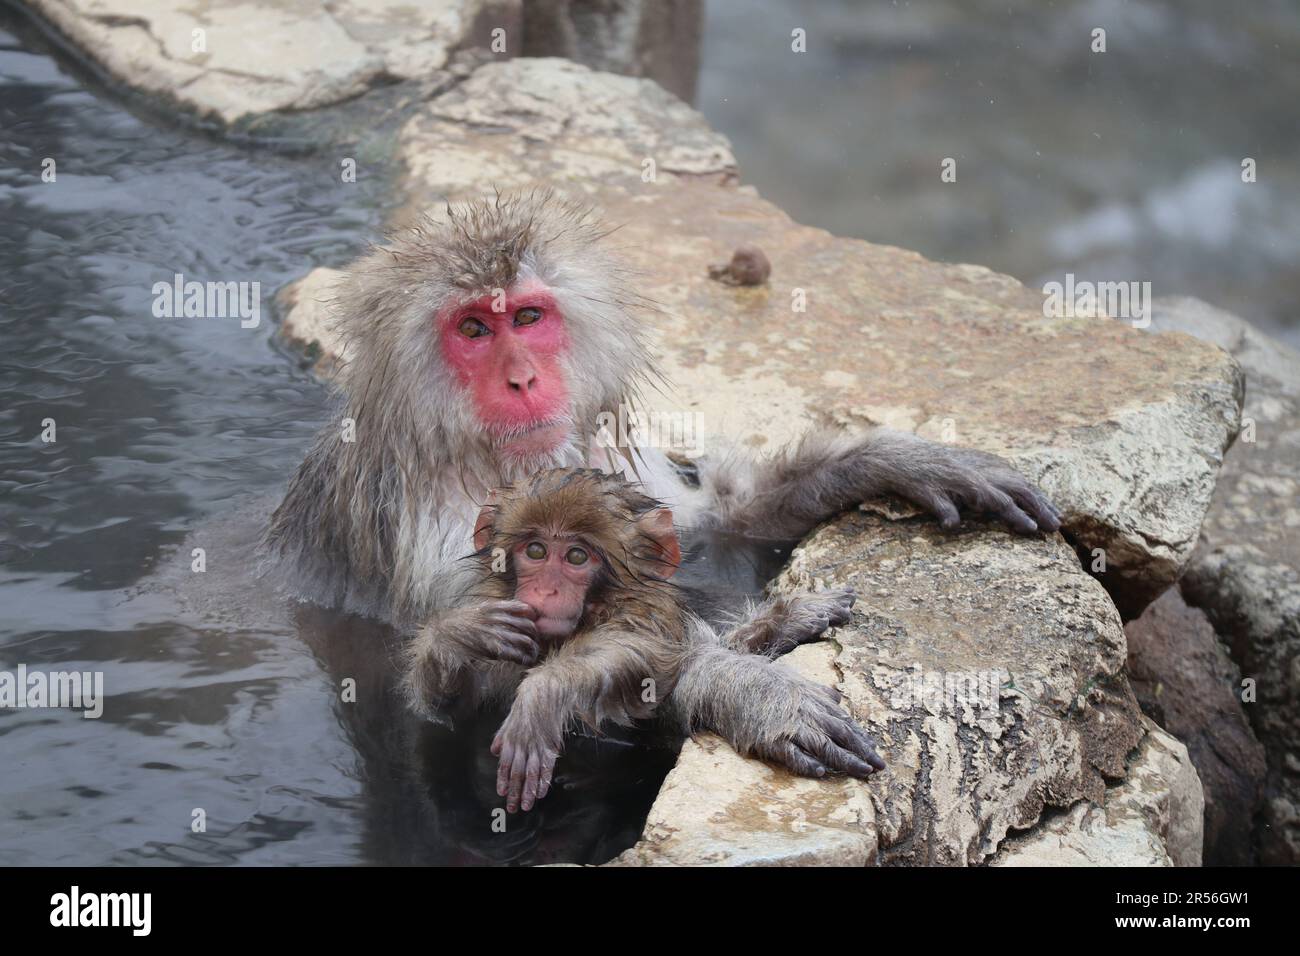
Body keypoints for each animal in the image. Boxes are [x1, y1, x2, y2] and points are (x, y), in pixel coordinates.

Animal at [264, 189, 1061, 783]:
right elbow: (492, 685)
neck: (481, 456)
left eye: (527, 316)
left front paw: (897, 461)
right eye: (473, 330)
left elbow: (707, 528)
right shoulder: (433, 528)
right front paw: (744, 689)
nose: (522, 381)